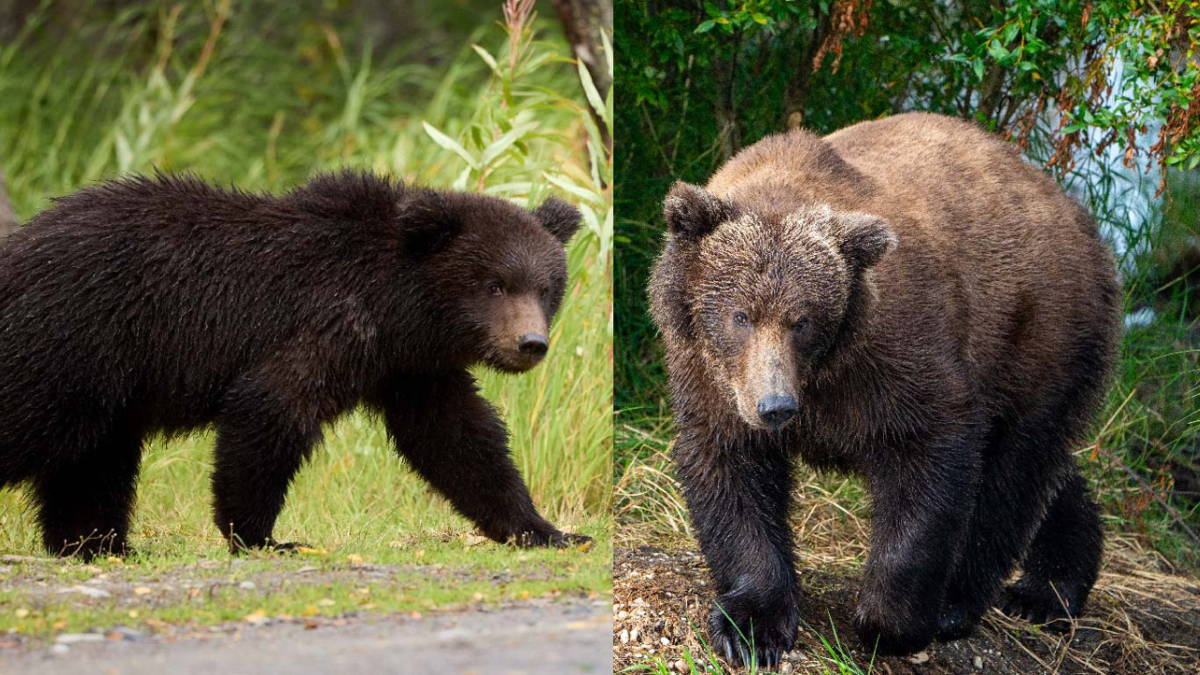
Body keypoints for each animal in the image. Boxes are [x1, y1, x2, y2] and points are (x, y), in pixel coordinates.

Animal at [0, 170, 589, 558]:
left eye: (545, 287)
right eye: (494, 285)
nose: (530, 343)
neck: (397, 304)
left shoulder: (410, 369)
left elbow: (460, 439)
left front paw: (547, 530)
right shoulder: (325, 323)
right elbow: (273, 404)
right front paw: (263, 536)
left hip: (105, 388)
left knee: (94, 464)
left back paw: (96, 545)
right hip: (71, 344)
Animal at [648, 112, 1120, 664]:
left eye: (802, 320)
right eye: (740, 315)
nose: (776, 407)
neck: (821, 375)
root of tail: (1079, 217)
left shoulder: (898, 353)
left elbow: (928, 457)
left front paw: (889, 622)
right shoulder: (711, 375)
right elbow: (731, 470)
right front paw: (752, 627)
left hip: (1040, 334)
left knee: (1014, 468)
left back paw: (966, 601)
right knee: (1048, 473)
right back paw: (1052, 584)